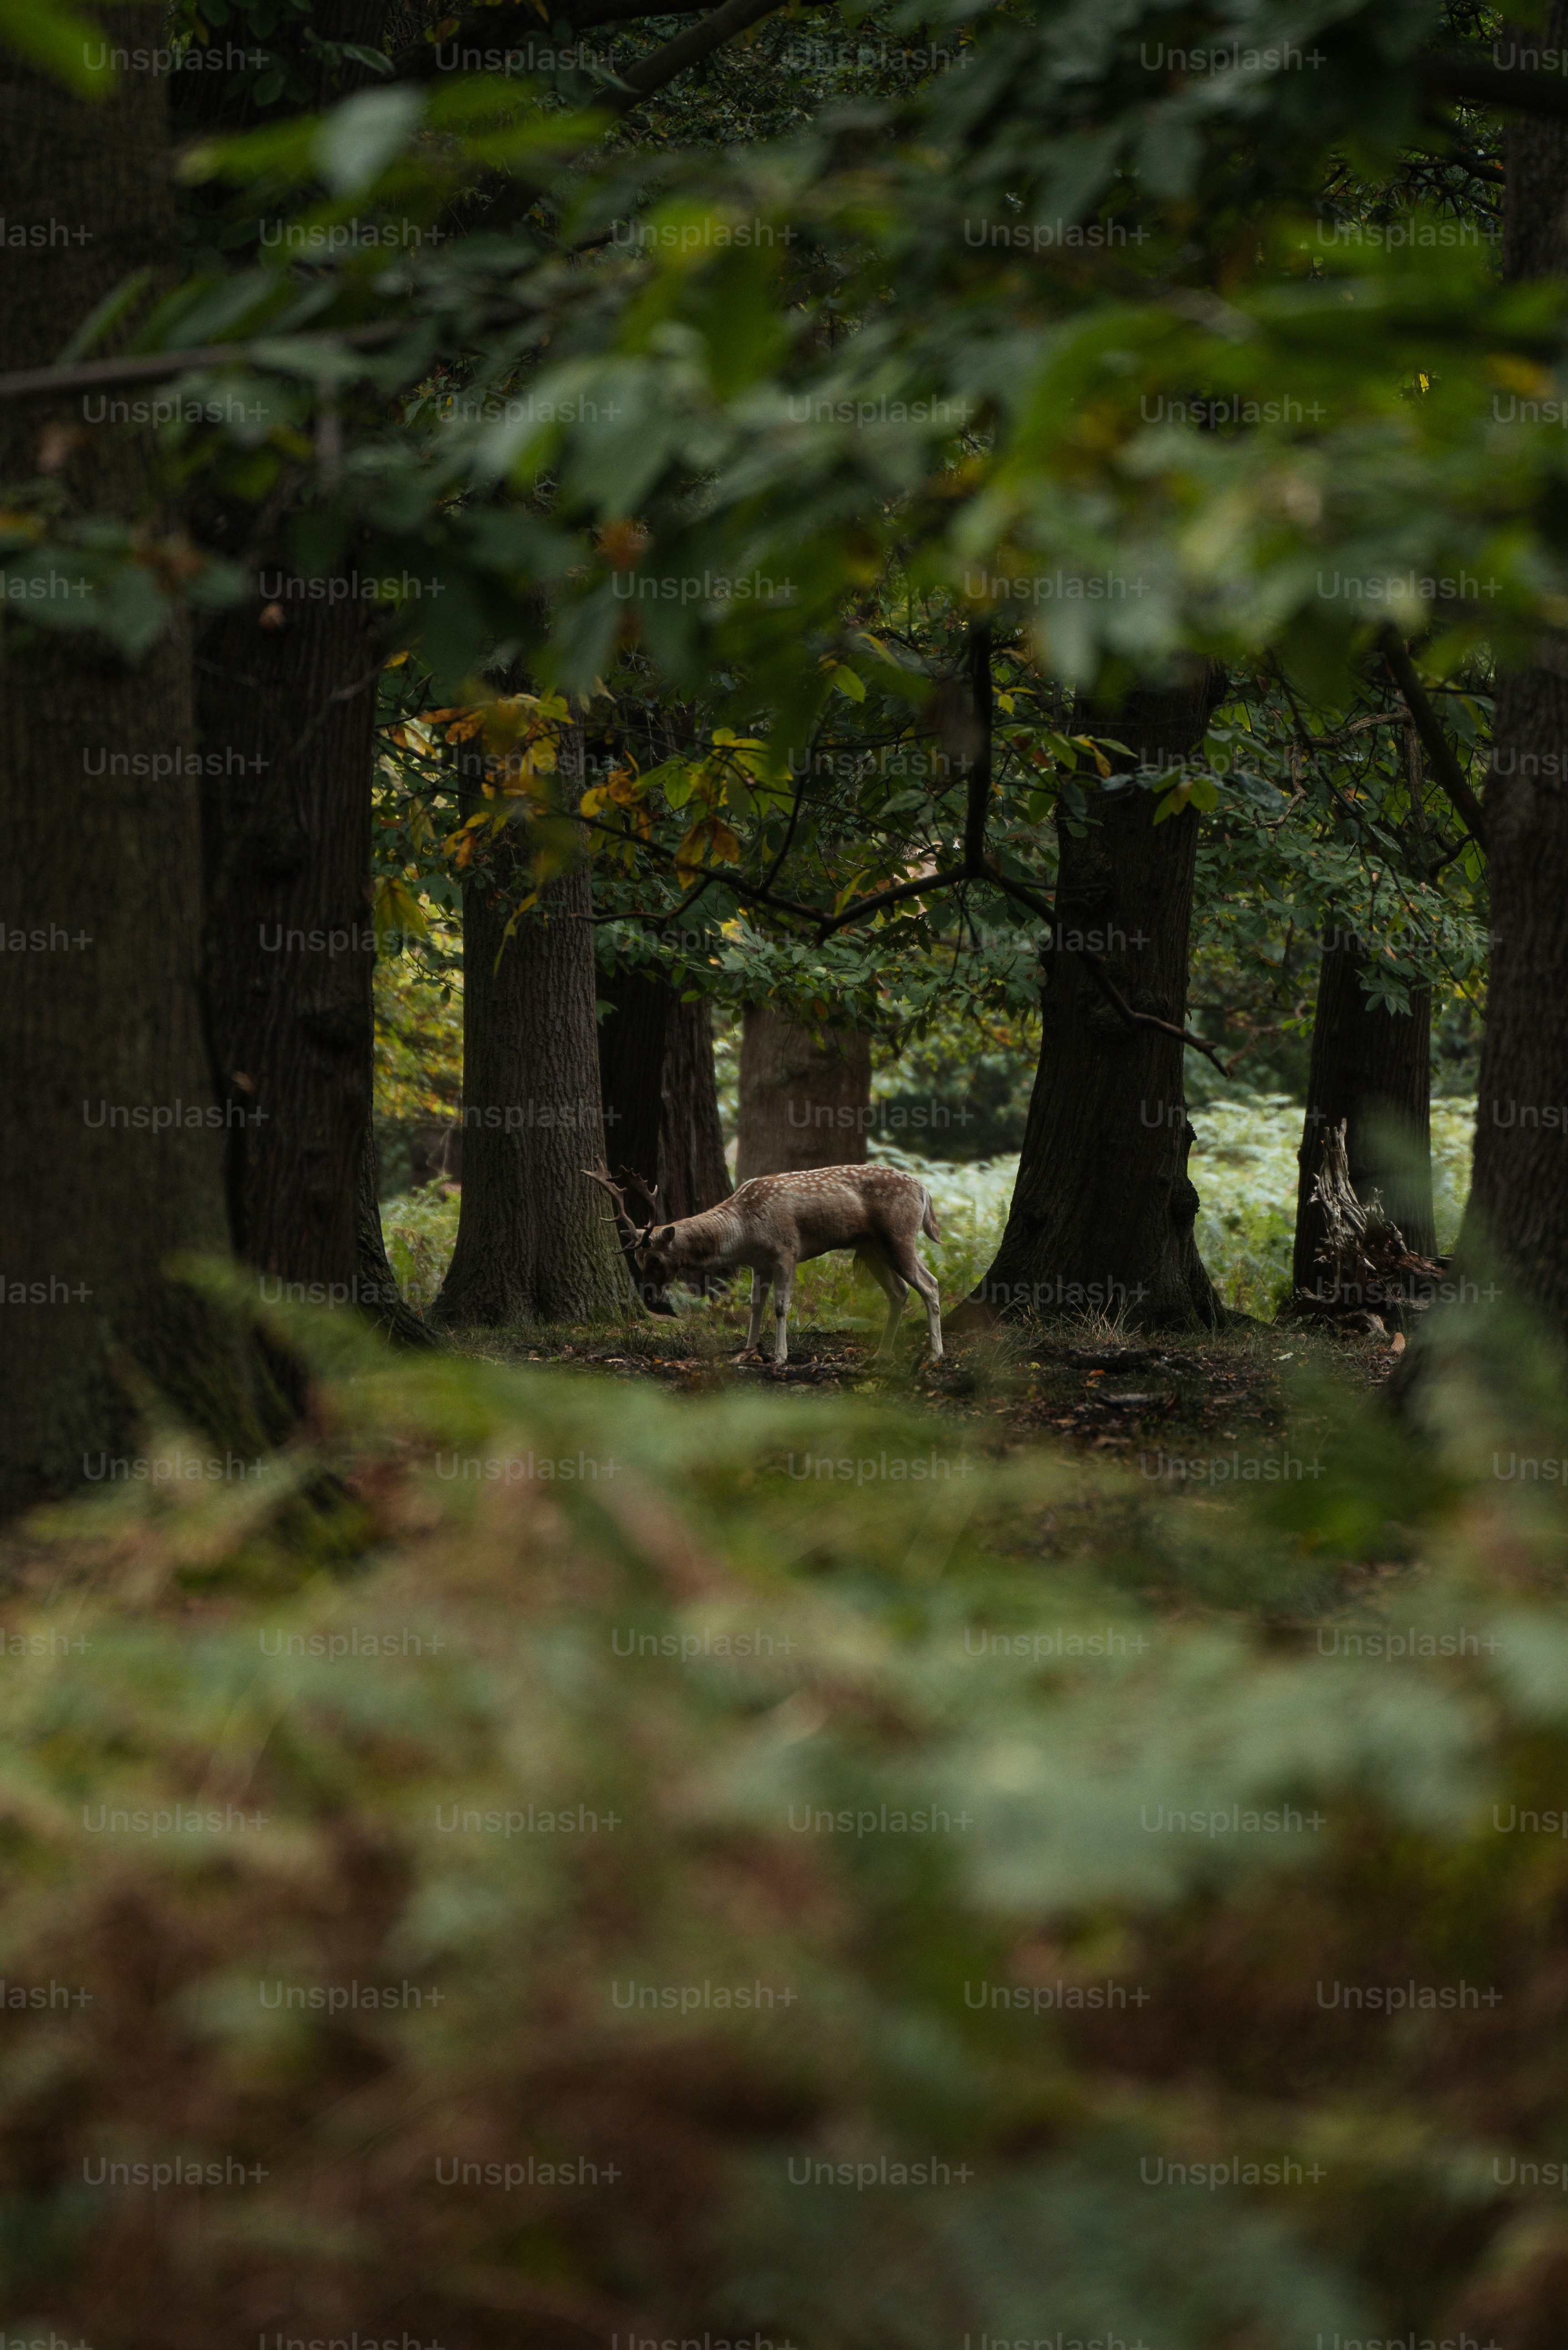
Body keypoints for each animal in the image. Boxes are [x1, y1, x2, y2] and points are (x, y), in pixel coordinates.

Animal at [583, 1162, 944, 1367]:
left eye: (656, 1258)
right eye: (636, 1258)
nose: (649, 1297)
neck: (743, 1233)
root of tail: (925, 1190)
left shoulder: (787, 1251)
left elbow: (781, 1306)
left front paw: (780, 1357)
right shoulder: (759, 1264)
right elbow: (755, 1305)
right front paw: (749, 1348)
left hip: (899, 1236)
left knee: (930, 1284)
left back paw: (935, 1354)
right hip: (870, 1248)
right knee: (899, 1292)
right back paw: (882, 1354)